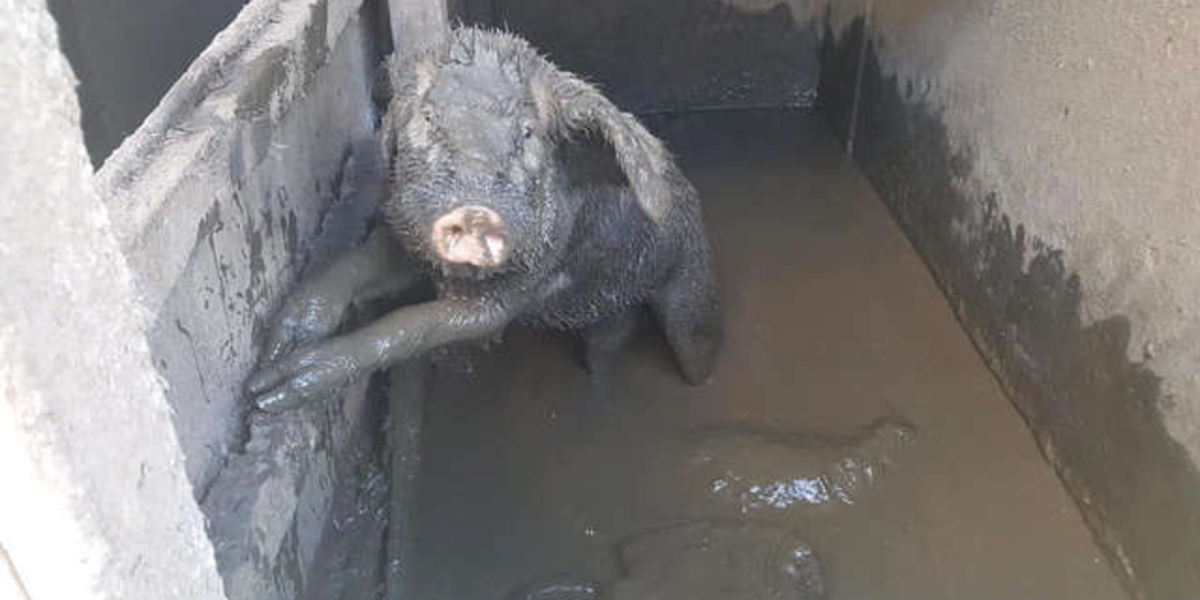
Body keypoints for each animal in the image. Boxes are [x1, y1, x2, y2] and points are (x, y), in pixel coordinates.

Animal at [247, 27, 721, 412]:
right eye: (428, 118)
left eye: (528, 133)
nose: (474, 211)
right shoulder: (409, 233)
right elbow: (355, 265)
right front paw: (266, 369)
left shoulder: (519, 285)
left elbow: (411, 324)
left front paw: (271, 396)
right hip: (609, 312)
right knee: (607, 341)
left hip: (689, 283)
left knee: (695, 344)